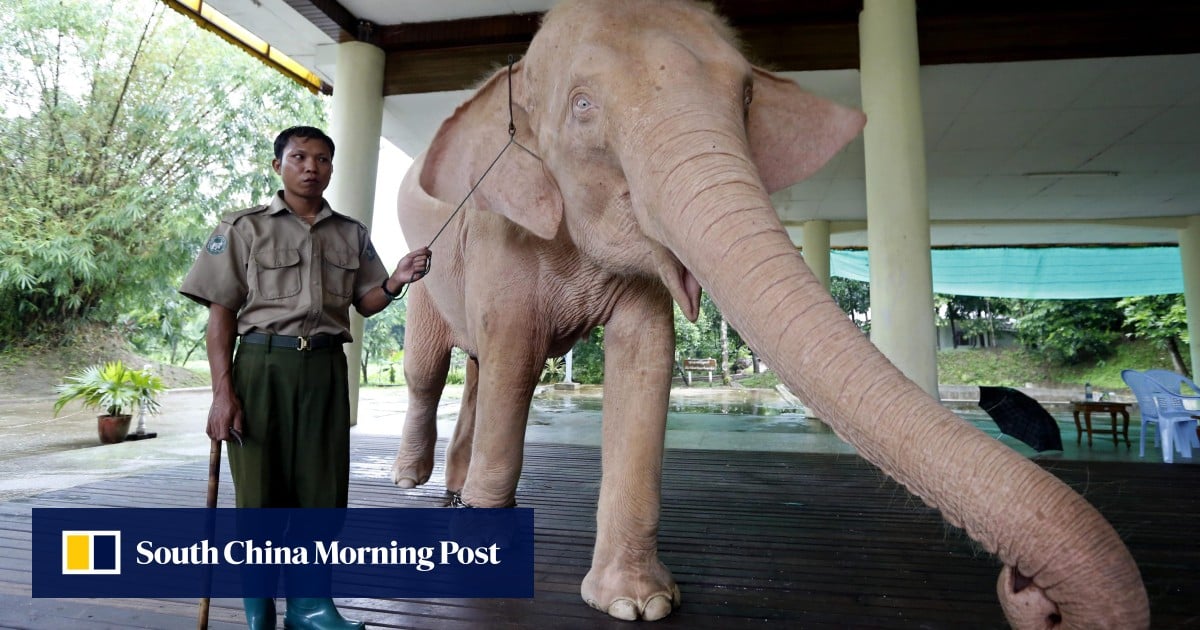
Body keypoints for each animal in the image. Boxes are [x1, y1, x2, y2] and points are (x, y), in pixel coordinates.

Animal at [389, 0, 1148, 627]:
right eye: (582, 105)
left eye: (747, 94)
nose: (1030, 592)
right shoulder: (499, 237)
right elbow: (517, 358)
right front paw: (492, 549)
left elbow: (645, 360)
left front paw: (637, 605)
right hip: (429, 282)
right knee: (437, 371)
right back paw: (412, 483)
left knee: (478, 372)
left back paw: (452, 492)